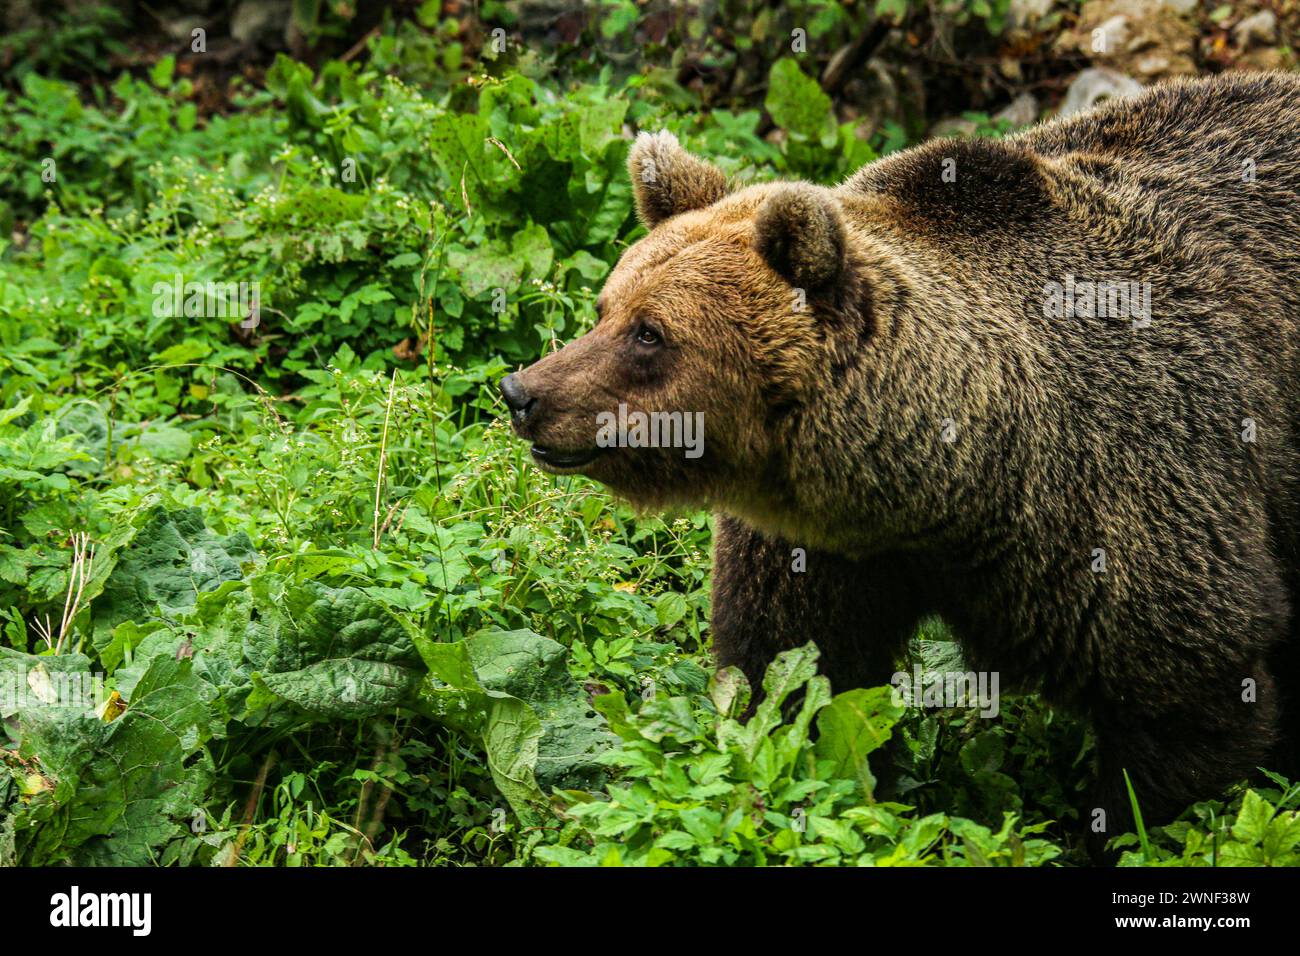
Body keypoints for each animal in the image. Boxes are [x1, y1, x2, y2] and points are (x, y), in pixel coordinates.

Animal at [501, 71, 1300, 849]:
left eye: (650, 333)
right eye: (605, 307)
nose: (523, 392)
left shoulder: (1134, 482)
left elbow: (1185, 701)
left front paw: (1116, 825)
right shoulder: (821, 546)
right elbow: (797, 674)